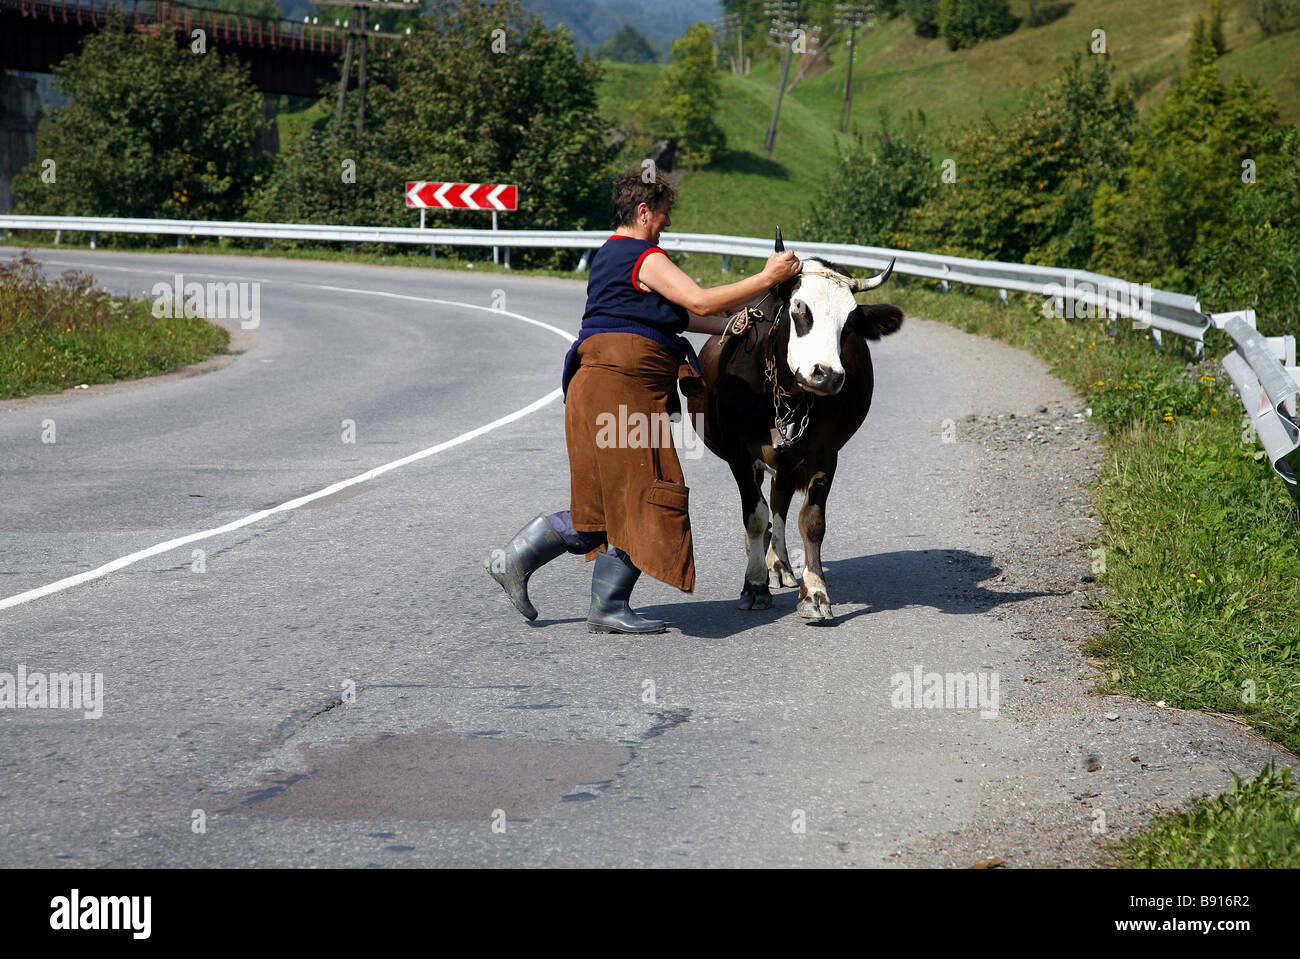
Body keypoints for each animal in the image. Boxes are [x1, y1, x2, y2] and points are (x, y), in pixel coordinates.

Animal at [686, 228, 903, 622]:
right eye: (800, 309)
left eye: (850, 325)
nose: (827, 375)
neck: (784, 391)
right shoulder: (740, 453)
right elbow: (754, 514)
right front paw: (754, 584)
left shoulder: (825, 453)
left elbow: (811, 520)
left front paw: (815, 591)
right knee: (764, 505)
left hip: (787, 463)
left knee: (780, 503)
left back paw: (780, 564)